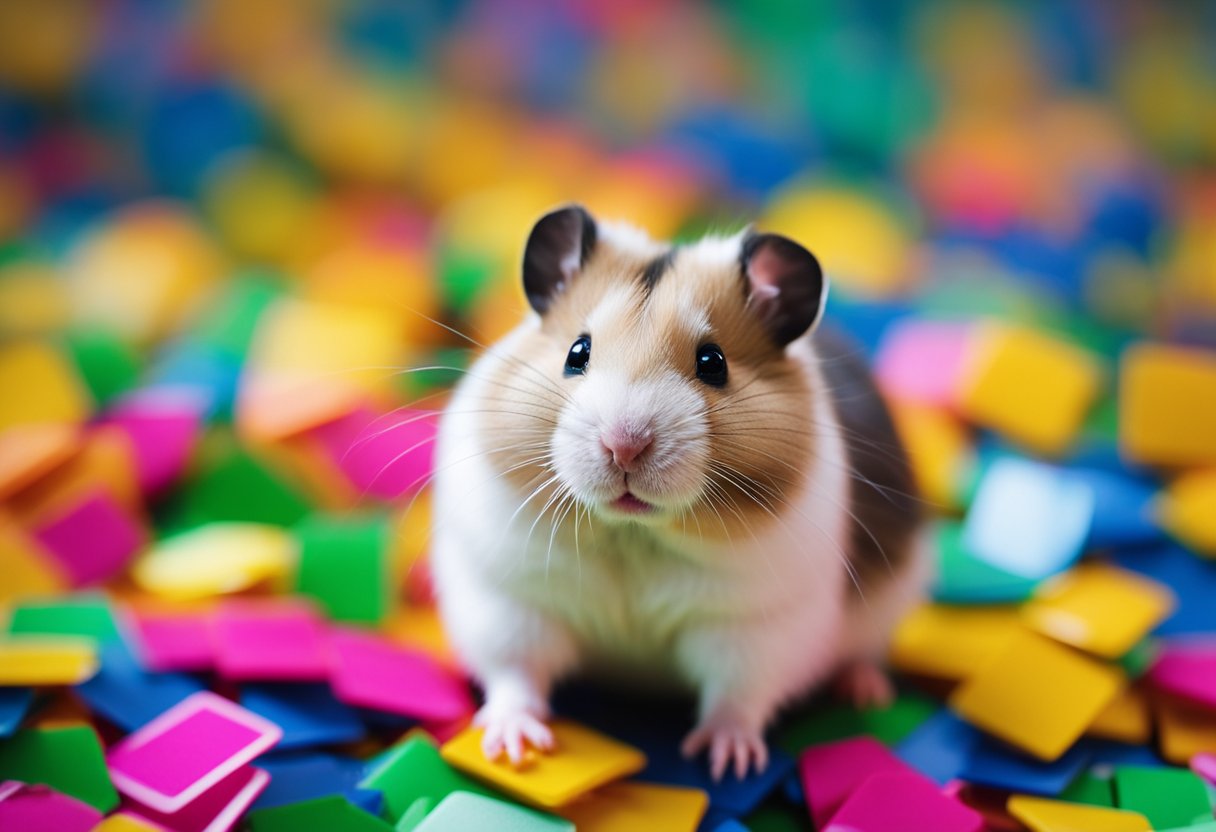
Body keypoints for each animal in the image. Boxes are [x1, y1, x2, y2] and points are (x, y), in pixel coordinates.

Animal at [431, 204, 929, 781]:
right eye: (577, 352)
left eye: (713, 363)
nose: (623, 446)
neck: (633, 532)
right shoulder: (513, 601)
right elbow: (515, 672)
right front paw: (516, 750)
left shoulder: (753, 629)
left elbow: (737, 696)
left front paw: (728, 762)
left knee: (864, 654)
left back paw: (865, 691)